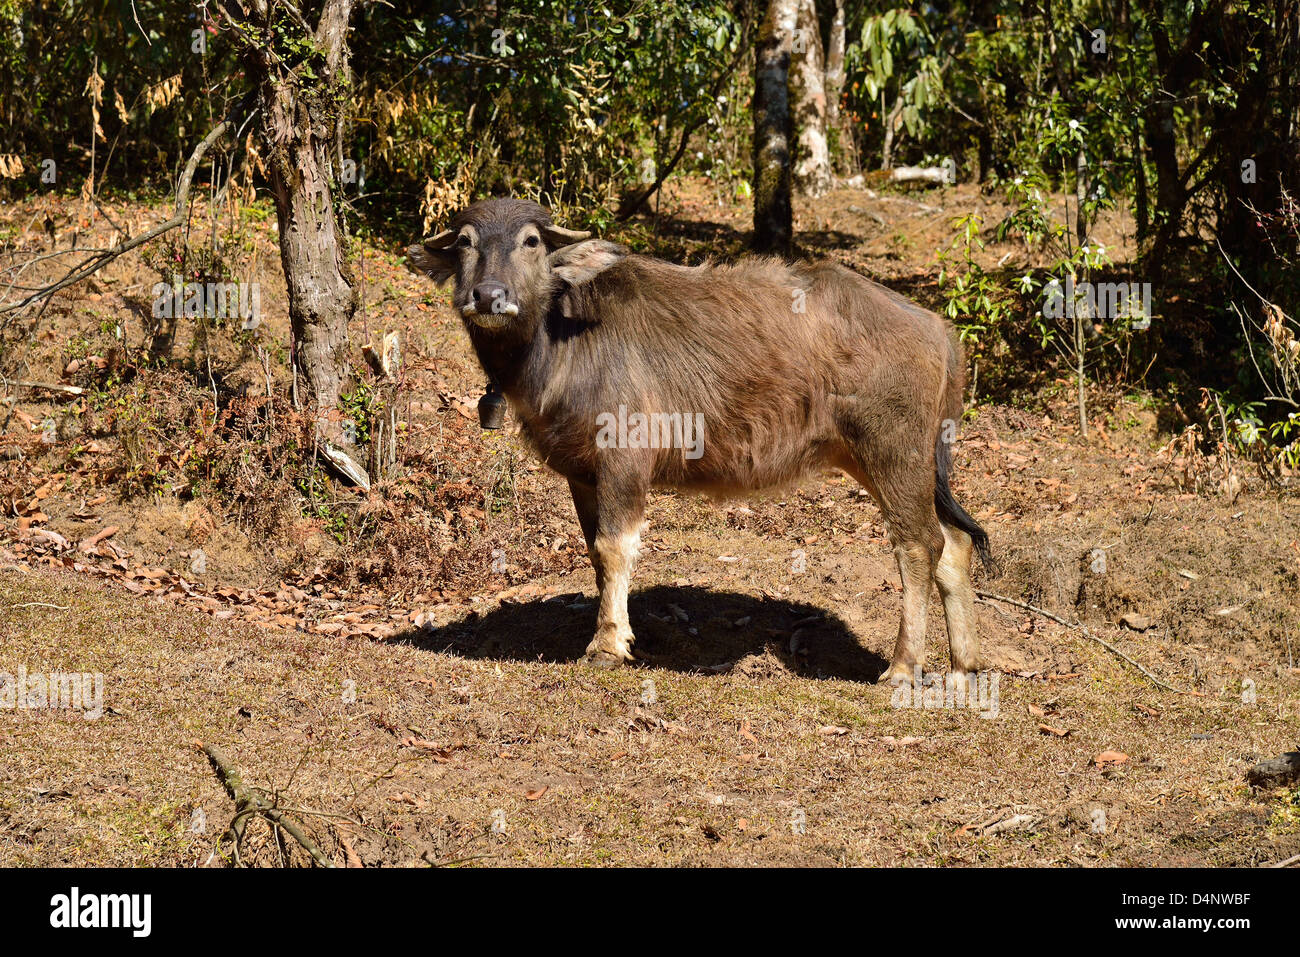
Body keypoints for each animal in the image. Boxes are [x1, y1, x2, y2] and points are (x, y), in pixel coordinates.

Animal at [410, 197, 987, 686]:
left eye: (530, 240)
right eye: (465, 242)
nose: (489, 296)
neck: (562, 339)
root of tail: (939, 329)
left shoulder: (624, 460)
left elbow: (615, 547)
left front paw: (606, 645)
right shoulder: (582, 473)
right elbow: (595, 553)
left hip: (893, 449)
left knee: (919, 544)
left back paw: (903, 667)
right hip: (880, 458)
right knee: (954, 543)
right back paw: (964, 666)